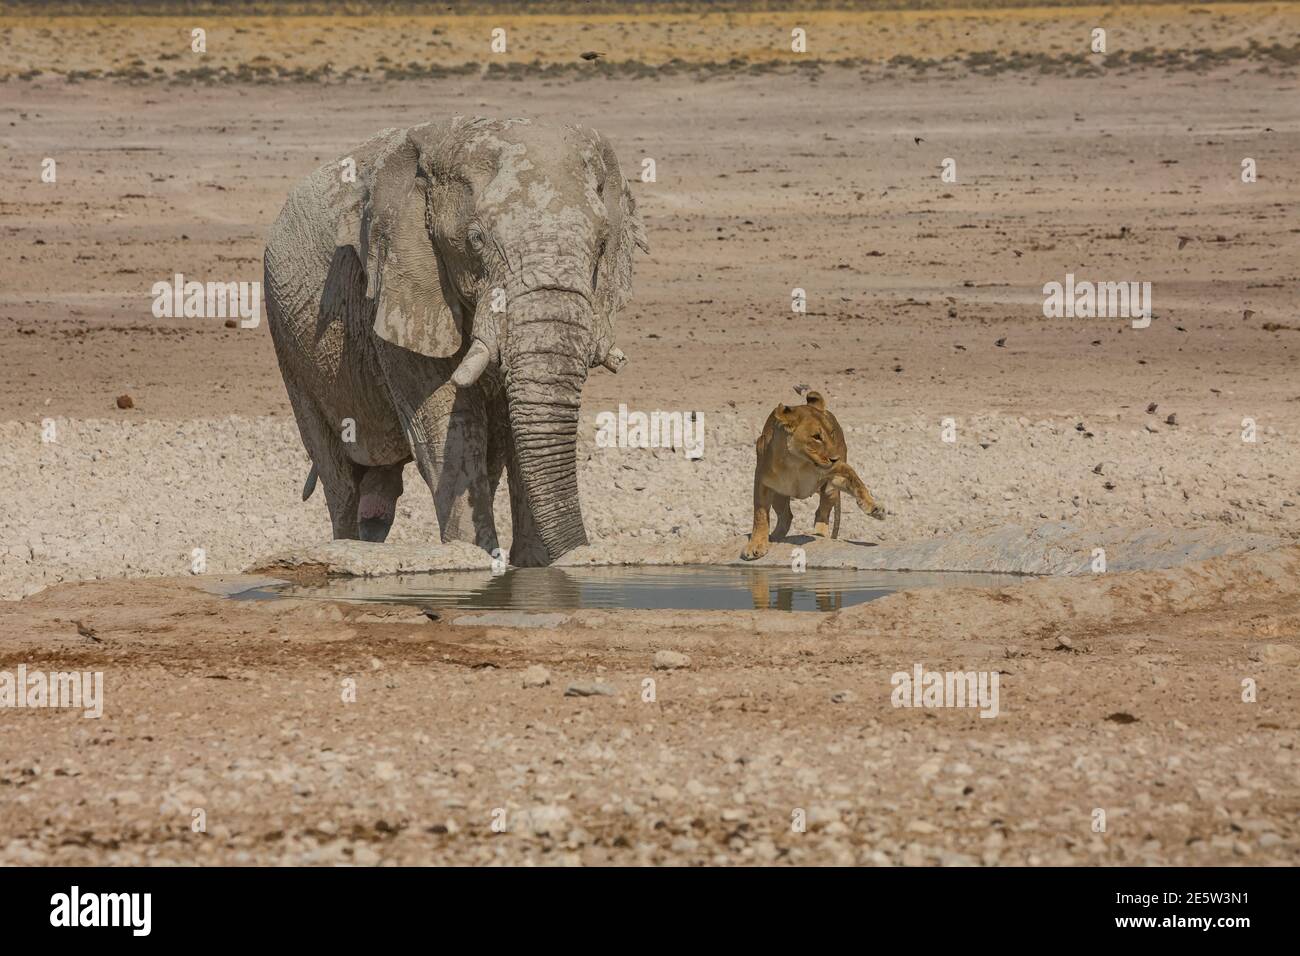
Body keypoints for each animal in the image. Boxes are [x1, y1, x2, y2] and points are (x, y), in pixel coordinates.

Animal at [263, 117, 647, 566]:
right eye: (475, 240)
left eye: (603, 244)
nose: (582, 552)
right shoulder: (401, 281)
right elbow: (451, 427)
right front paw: (476, 560)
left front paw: (536, 569)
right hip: (289, 342)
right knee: (339, 479)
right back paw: (344, 545)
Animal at [741, 390, 885, 560]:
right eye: (816, 436)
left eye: (831, 433)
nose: (835, 459)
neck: (796, 462)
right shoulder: (763, 482)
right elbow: (760, 515)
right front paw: (756, 545)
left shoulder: (837, 474)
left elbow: (857, 482)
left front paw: (875, 508)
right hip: (779, 495)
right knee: (786, 517)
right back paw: (775, 537)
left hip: (829, 491)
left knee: (821, 513)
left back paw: (820, 534)